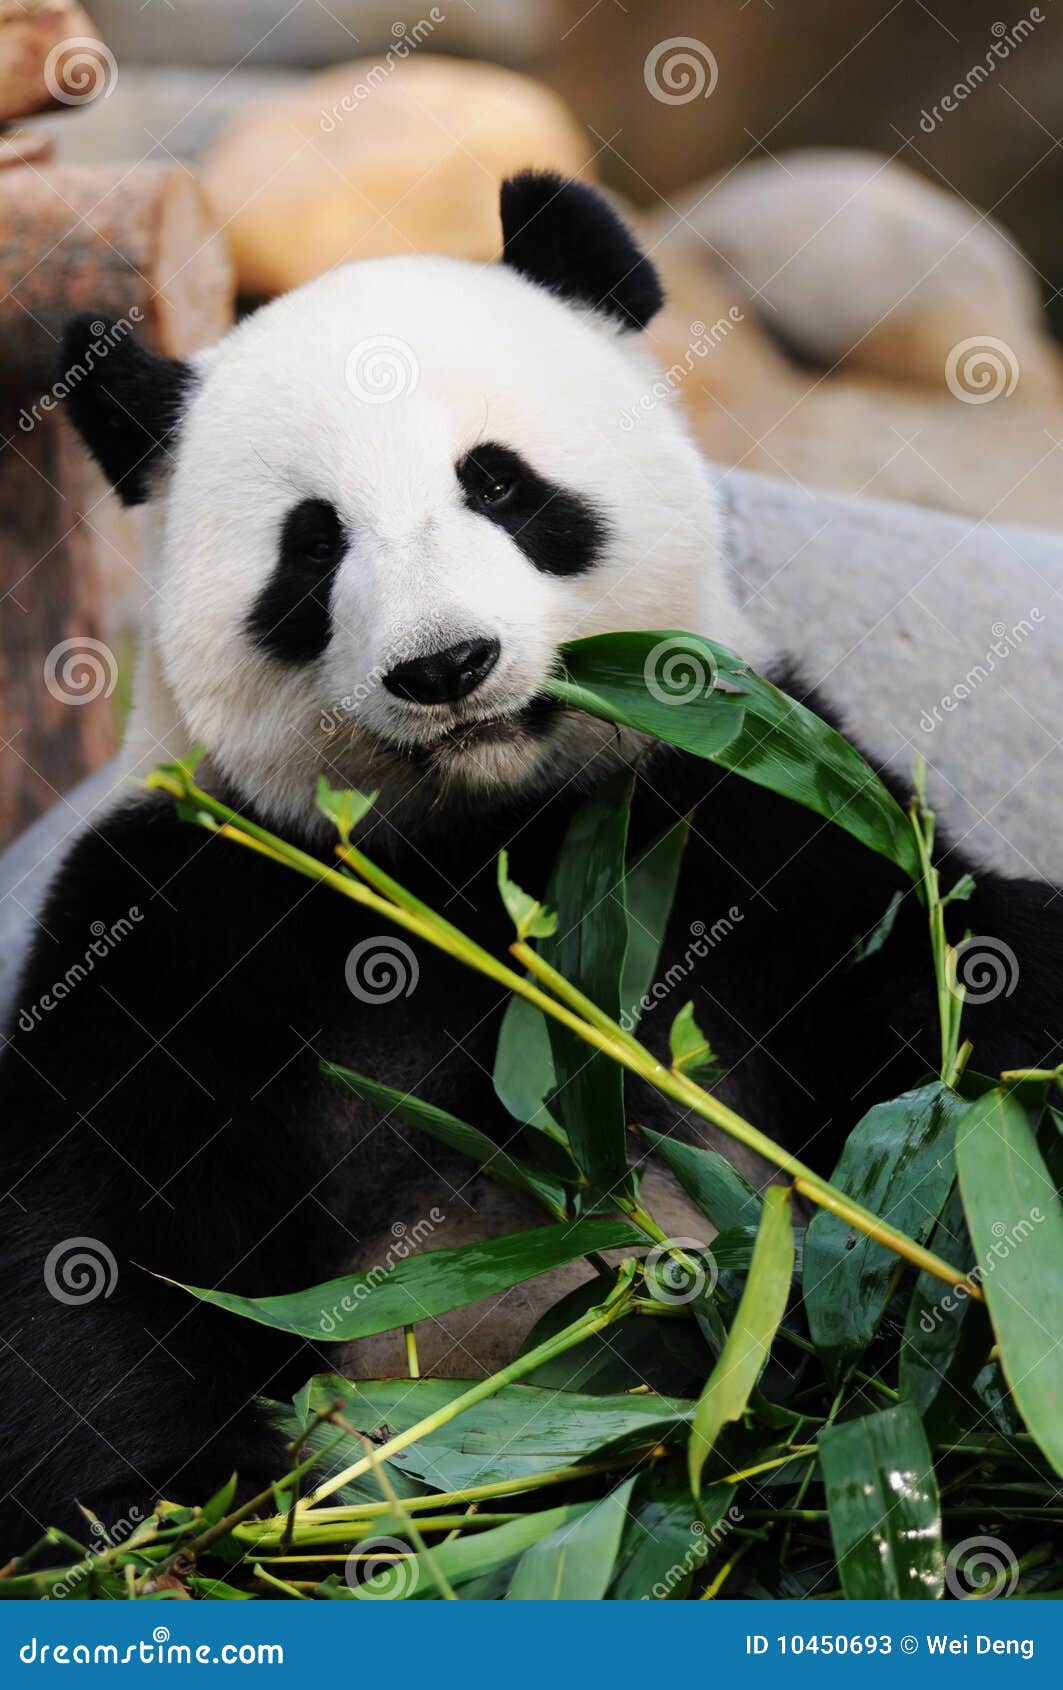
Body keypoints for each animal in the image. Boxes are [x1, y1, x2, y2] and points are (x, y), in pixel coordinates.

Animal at [0, 172, 1059, 1547]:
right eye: (313, 545)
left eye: (498, 484)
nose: (444, 665)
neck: (475, 835)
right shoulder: (191, 892)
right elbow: (88, 1220)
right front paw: (160, 1510)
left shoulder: (744, 799)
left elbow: (946, 988)